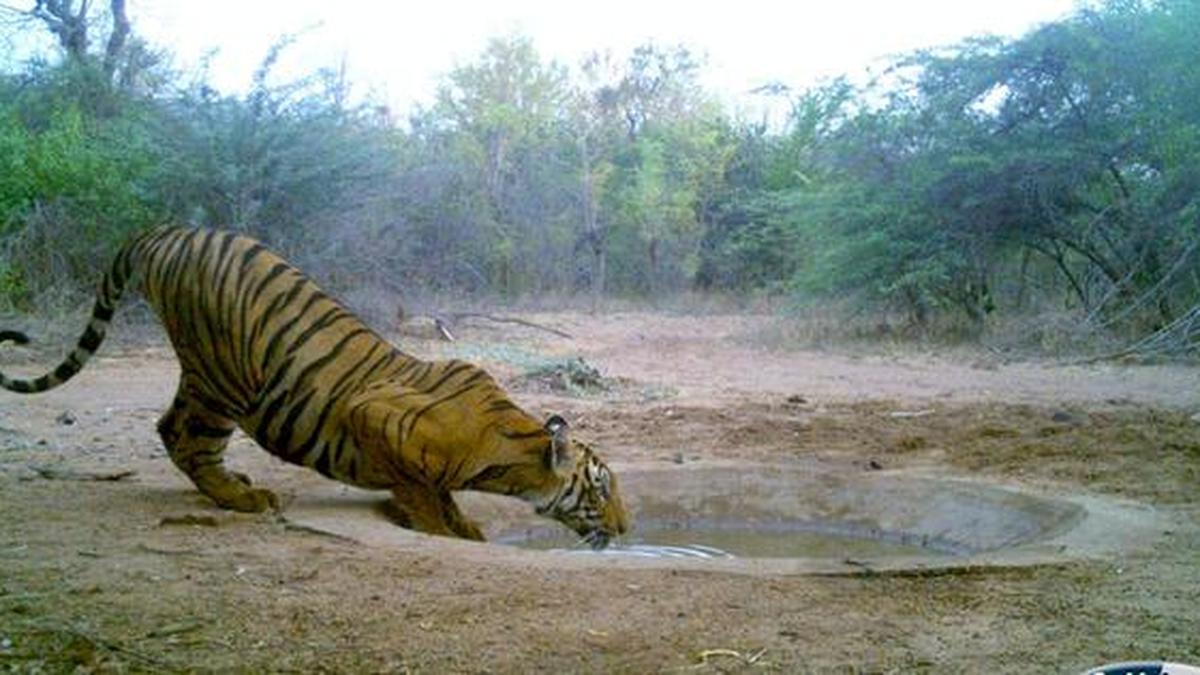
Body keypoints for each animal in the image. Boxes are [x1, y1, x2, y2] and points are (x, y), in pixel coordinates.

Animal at [0, 226, 629, 548]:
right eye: (599, 489)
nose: (627, 527)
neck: (507, 454)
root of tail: (171, 228)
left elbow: (443, 494)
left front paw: (462, 524)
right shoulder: (373, 413)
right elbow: (421, 490)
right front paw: (438, 528)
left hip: (209, 376)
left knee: (169, 428)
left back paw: (233, 485)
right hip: (221, 378)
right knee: (184, 435)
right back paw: (242, 497)